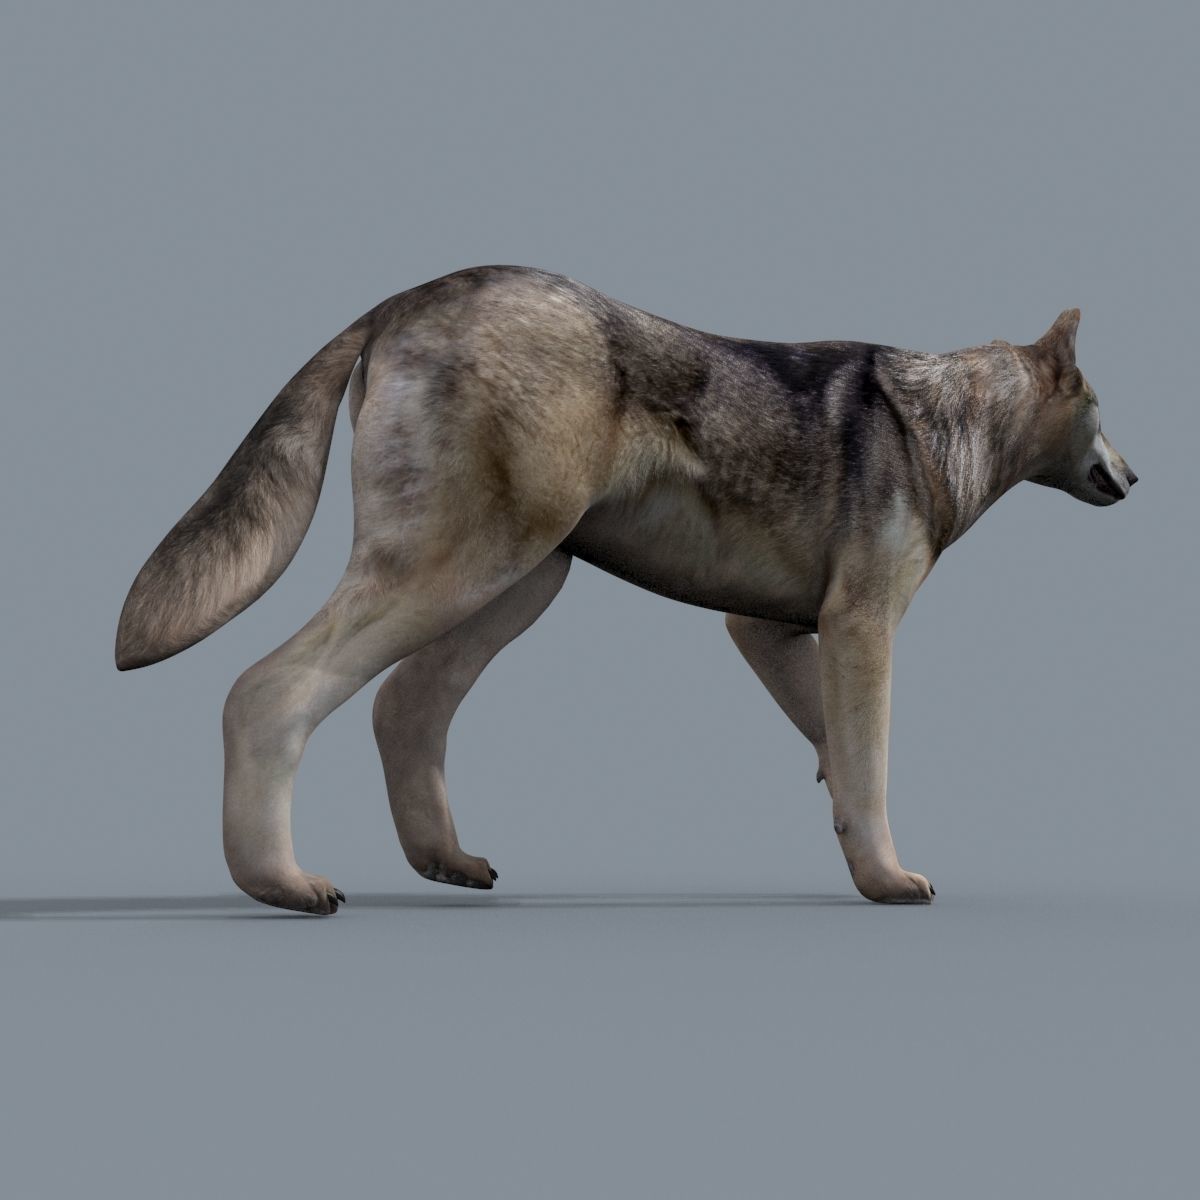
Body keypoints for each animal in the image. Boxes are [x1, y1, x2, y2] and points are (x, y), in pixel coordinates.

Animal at [116, 266, 1136, 913]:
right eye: (1102, 411)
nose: (1136, 477)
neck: (949, 420)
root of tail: (403, 298)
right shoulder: (861, 627)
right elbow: (872, 764)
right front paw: (886, 881)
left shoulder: (766, 628)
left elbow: (836, 753)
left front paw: (841, 820)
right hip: (470, 566)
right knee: (268, 690)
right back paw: (284, 885)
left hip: (522, 578)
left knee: (402, 704)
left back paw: (445, 862)